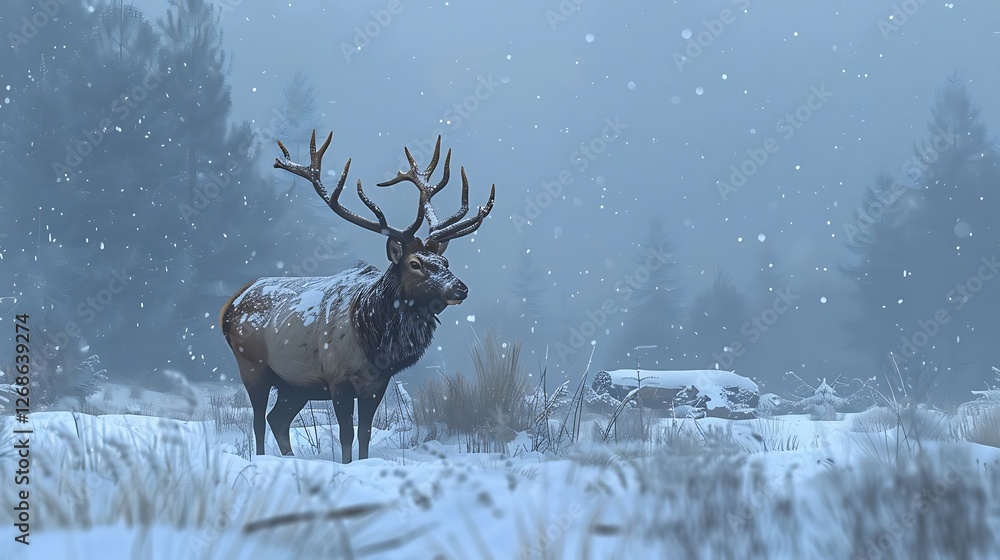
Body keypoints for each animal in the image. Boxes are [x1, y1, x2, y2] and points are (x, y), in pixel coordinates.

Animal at [219, 130, 494, 463]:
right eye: (415, 264)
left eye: (444, 262)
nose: (460, 288)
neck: (370, 336)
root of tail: (230, 305)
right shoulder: (338, 378)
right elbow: (346, 435)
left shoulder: (377, 383)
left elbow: (364, 433)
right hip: (252, 365)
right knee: (259, 421)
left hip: (295, 384)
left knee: (278, 419)